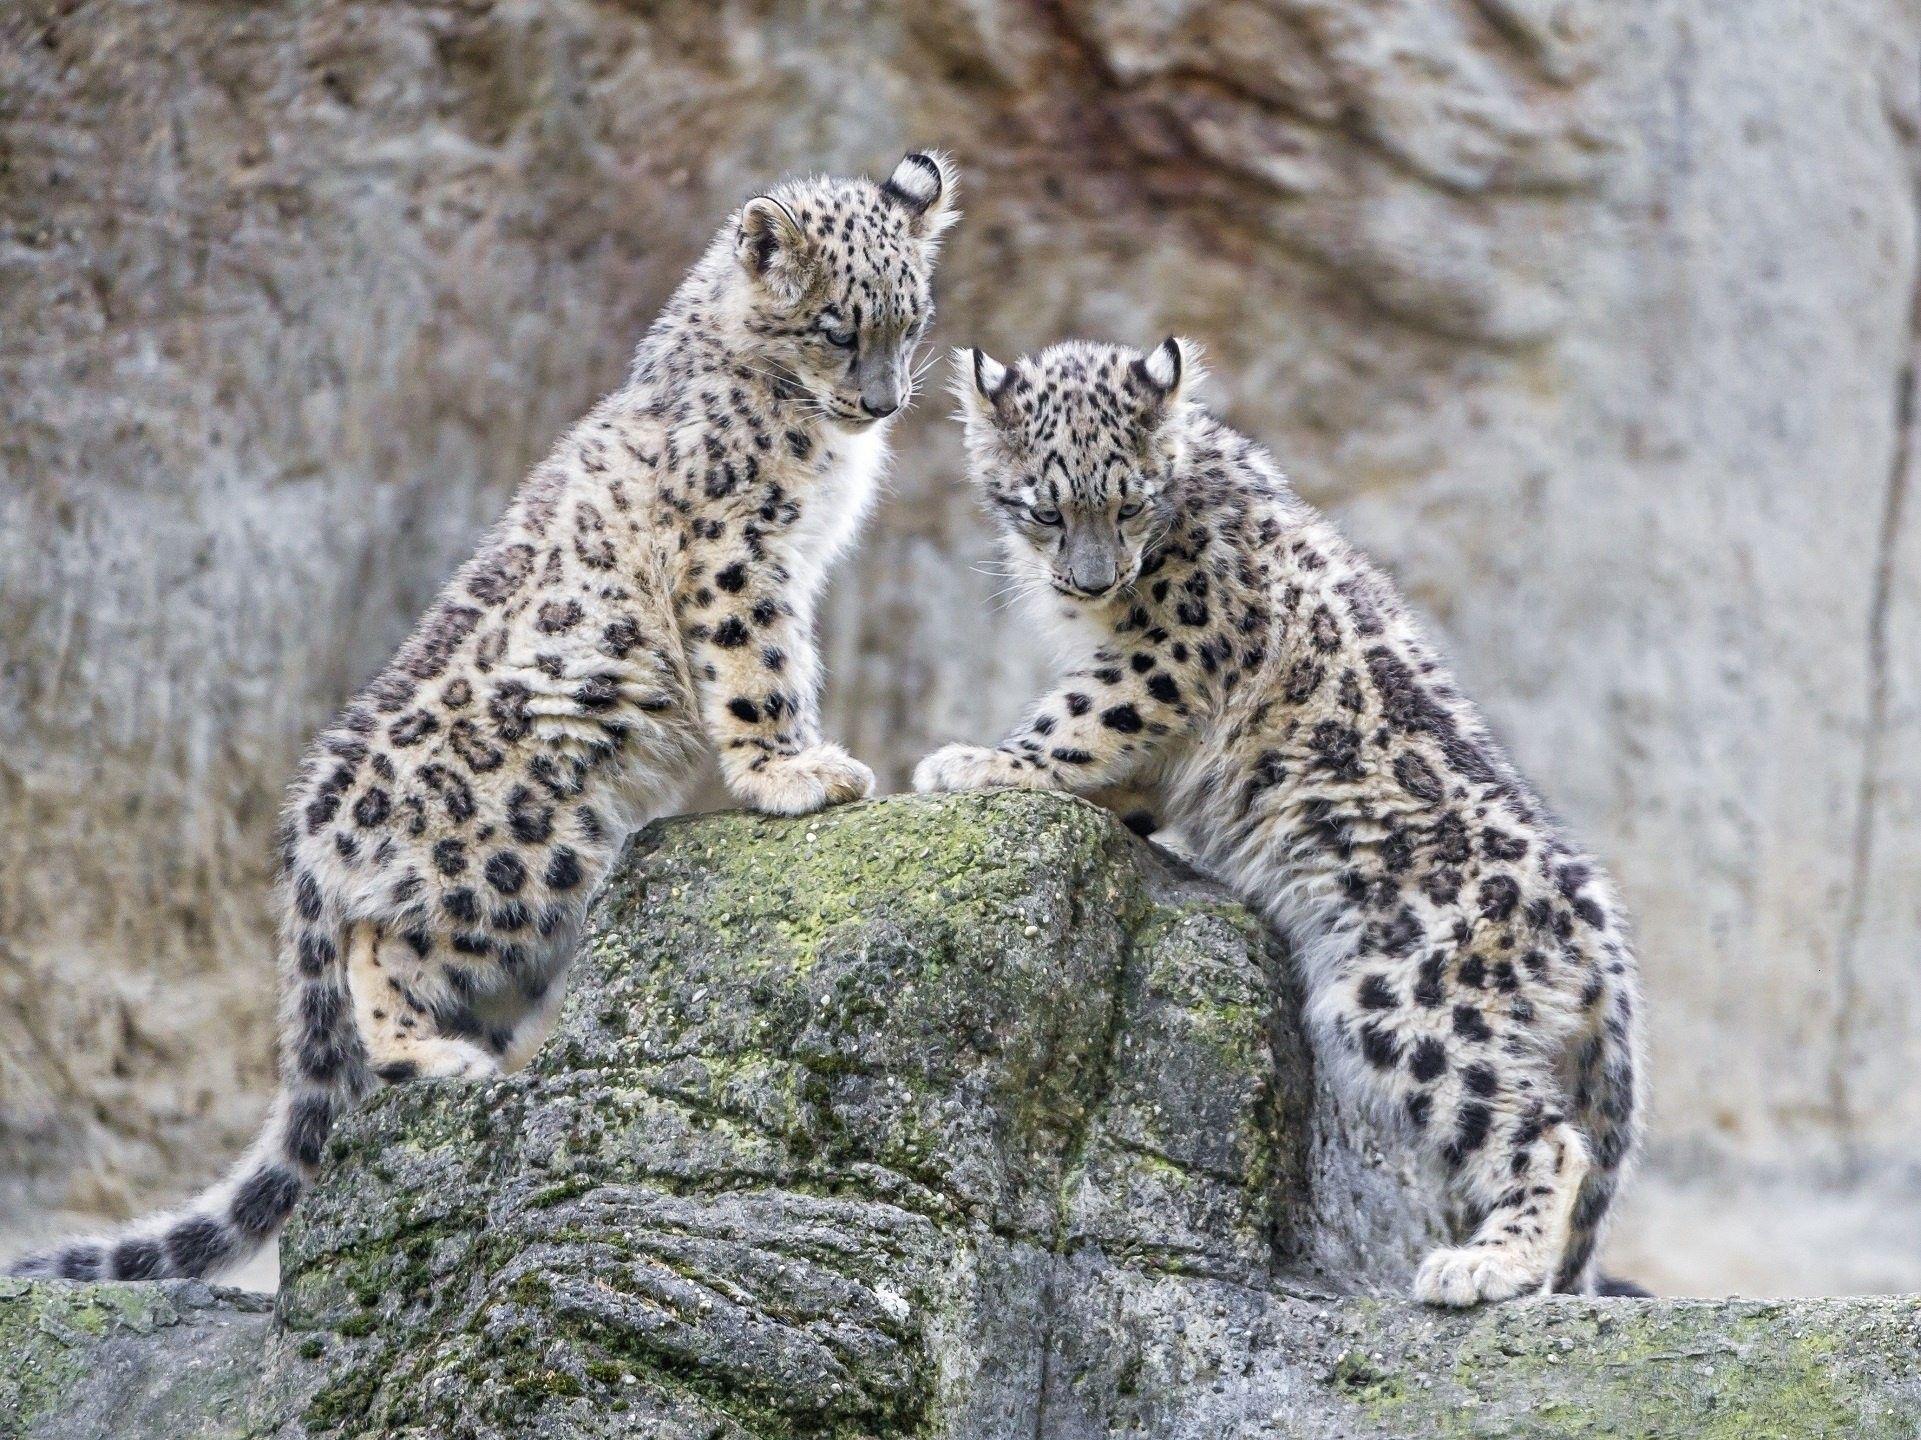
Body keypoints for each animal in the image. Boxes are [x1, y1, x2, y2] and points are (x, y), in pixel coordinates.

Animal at [10, 151, 959, 1283]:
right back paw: (433, 1053)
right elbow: (756, 665)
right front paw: (796, 770)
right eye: (834, 328)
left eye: (912, 319)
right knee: (380, 951)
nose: (884, 400)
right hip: (527, 854)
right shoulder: (734, 552)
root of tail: (309, 821)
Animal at [915, 337, 1642, 1306]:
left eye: (1131, 500)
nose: (1093, 578)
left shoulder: (1169, 653)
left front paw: (977, 761)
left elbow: (1083, 715)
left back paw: (1484, 1263)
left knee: (1545, 1134)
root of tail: (1594, 928)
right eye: (1044, 507)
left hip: (1408, 1000)